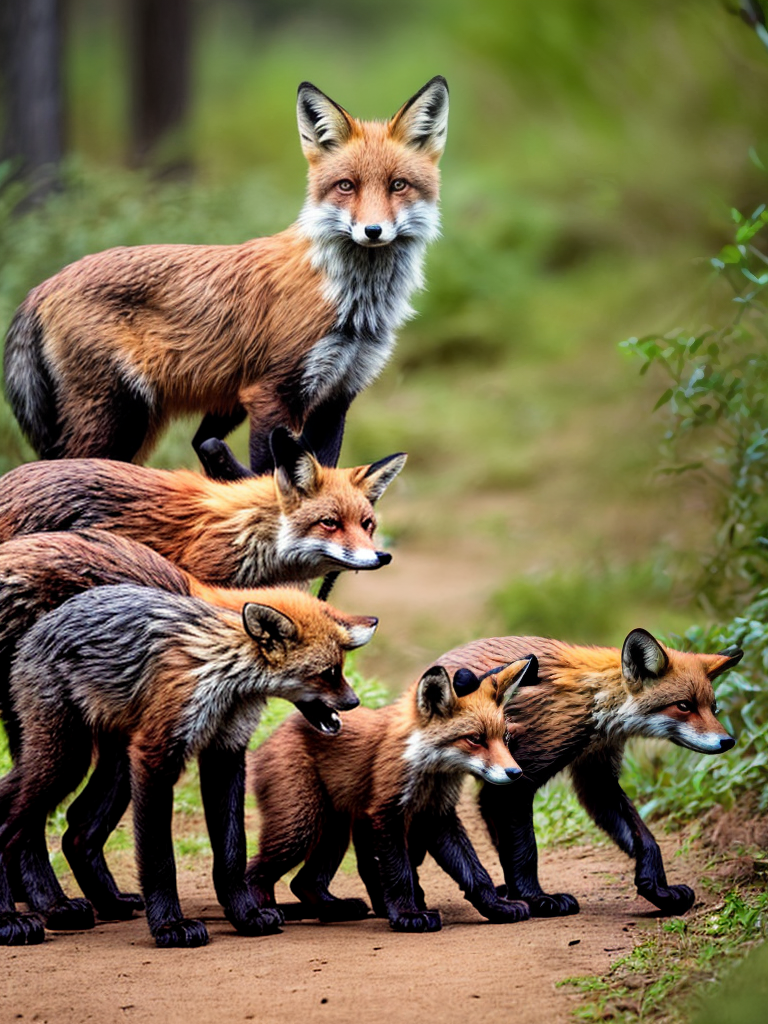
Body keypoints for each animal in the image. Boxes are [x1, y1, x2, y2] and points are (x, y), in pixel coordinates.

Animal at [0, 528, 379, 943]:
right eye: (327, 674)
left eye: (340, 668)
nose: (355, 701)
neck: (225, 678)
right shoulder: (155, 755)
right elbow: (159, 859)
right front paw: (170, 925)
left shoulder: (225, 752)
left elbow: (231, 854)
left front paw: (245, 916)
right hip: (67, 757)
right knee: (20, 825)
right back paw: (21, 915)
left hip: (106, 758)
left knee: (75, 830)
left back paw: (105, 904)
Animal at [3, 77, 448, 474]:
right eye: (346, 186)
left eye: (398, 185)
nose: (372, 231)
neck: (354, 305)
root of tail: (45, 284)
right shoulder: (271, 393)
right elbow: (275, 478)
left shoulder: (336, 396)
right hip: (115, 418)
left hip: (163, 420)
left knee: (200, 444)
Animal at [246, 657, 539, 933]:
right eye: (475, 739)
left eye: (505, 738)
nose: (516, 772)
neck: (431, 774)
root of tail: (264, 743)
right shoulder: (387, 814)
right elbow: (399, 873)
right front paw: (408, 915)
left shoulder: (438, 816)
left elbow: (475, 872)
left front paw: (497, 907)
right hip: (300, 828)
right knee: (253, 872)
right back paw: (259, 916)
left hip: (334, 832)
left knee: (302, 882)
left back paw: (334, 909)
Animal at [434, 628, 742, 918]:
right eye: (684, 706)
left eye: (712, 709)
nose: (728, 742)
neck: (594, 705)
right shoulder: (515, 783)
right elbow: (525, 851)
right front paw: (536, 898)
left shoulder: (597, 776)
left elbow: (644, 838)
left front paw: (657, 888)